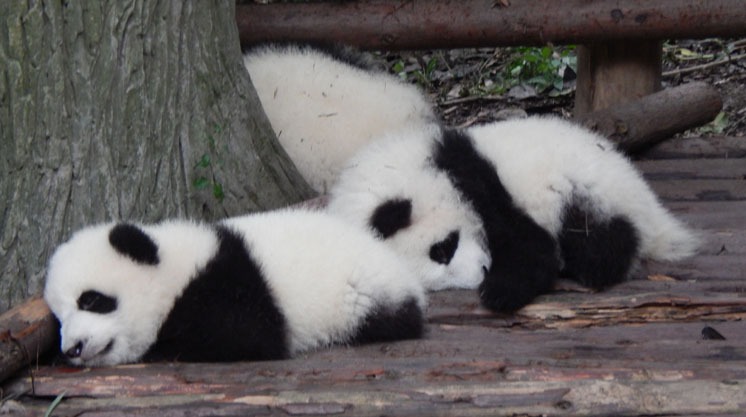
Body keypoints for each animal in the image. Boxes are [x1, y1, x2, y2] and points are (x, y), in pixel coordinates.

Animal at [44, 209, 425, 367]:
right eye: (59, 319)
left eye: (92, 300)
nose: (72, 348)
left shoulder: (228, 288)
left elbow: (246, 337)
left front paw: (160, 347)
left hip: (362, 295)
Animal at [326, 116, 700, 312]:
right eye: (438, 274)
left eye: (442, 249)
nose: (481, 273)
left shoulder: (478, 178)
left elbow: (531, 247)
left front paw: (500, 290)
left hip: (590, 190)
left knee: (601, 239)